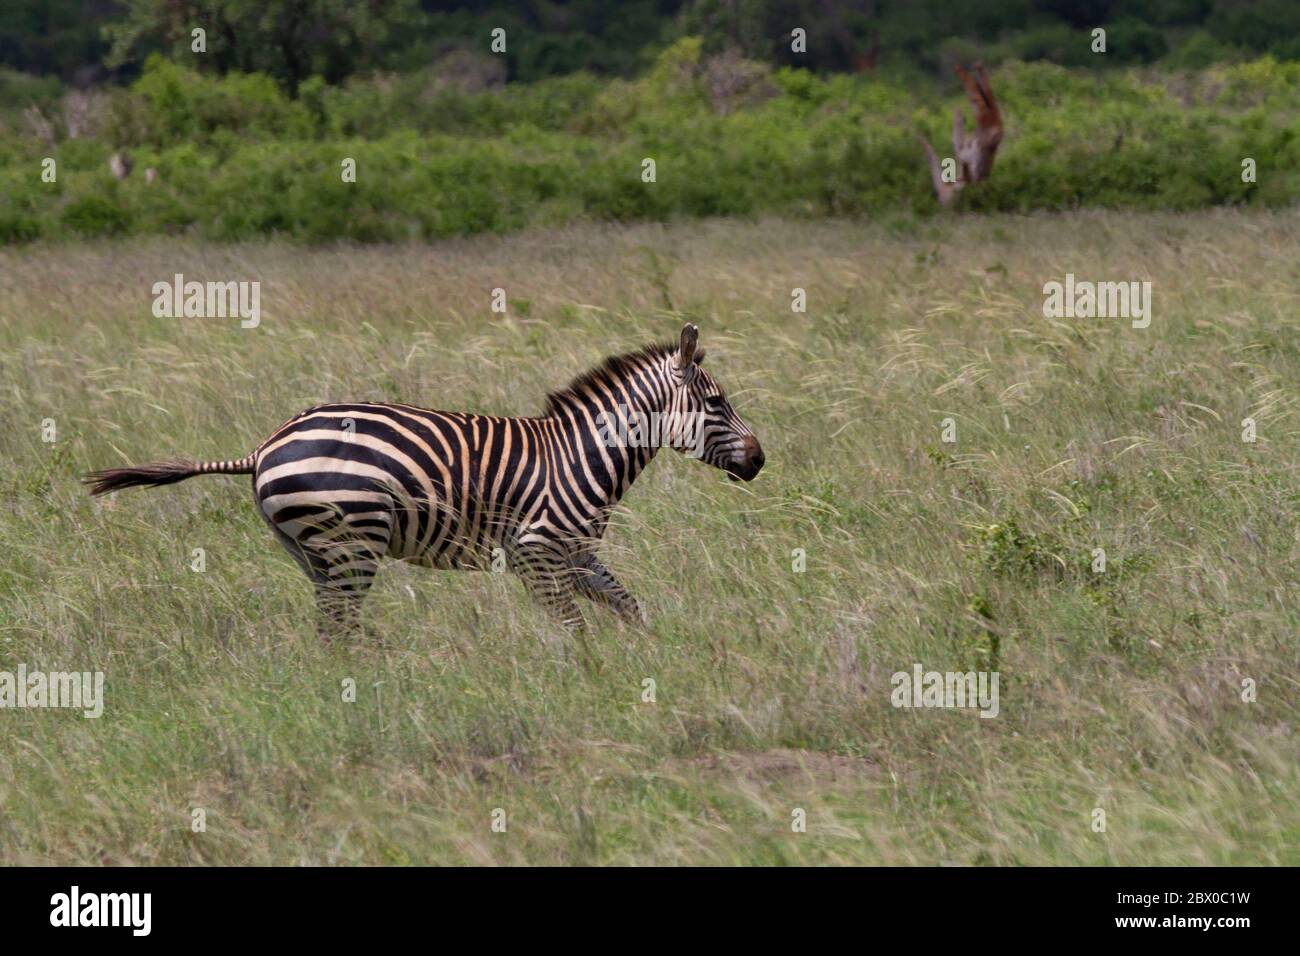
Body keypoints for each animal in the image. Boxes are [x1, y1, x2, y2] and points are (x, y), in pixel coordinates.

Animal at [84, 324, 764, 635]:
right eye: (715, 403)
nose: (760, 460)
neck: (583, 454)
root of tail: (262, 447)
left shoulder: (575, 552)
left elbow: (629, 607)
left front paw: (649, 661)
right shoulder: (537, 549)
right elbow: (572, 625)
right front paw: (588, 675)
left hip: (310, 551)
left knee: (331, 626)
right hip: (353, 539)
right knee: (337, 629)